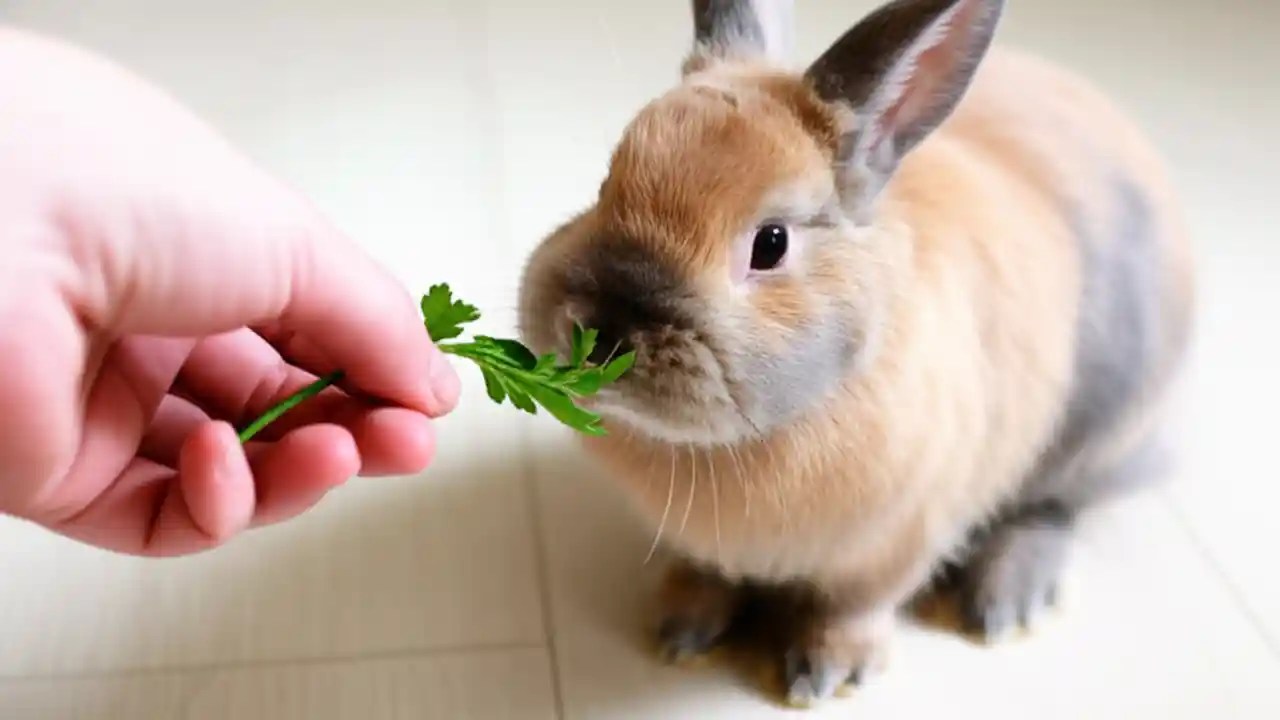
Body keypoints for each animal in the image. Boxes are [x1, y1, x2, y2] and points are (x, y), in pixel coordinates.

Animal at [518, 0, 1195, 706]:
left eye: (770, 243)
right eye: (605, 187)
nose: (601, 333)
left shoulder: (897, 543)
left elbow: (852, 607)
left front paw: (826, 675)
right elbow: (707, 574)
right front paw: (679, 630)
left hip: (1100, 424)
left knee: (1056, 504)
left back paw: (1006, 599)